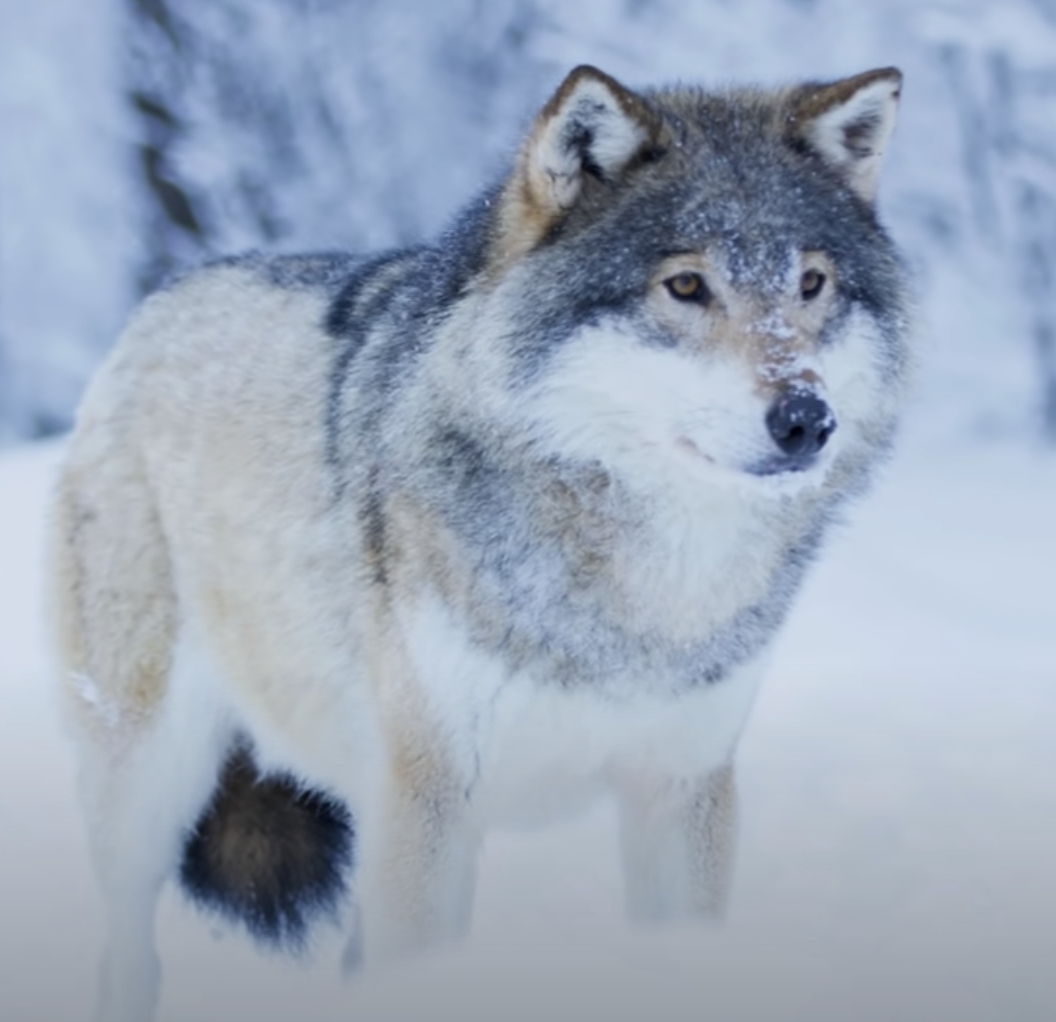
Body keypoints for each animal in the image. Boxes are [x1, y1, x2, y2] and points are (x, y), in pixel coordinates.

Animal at [49, 64, 911, 1021]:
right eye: (686, 287)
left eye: (811, 283)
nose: (807, 420)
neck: (639, 596)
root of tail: (164, 297)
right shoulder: (432, 802)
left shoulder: (683, 789)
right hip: (150, 785)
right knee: (126, 952)